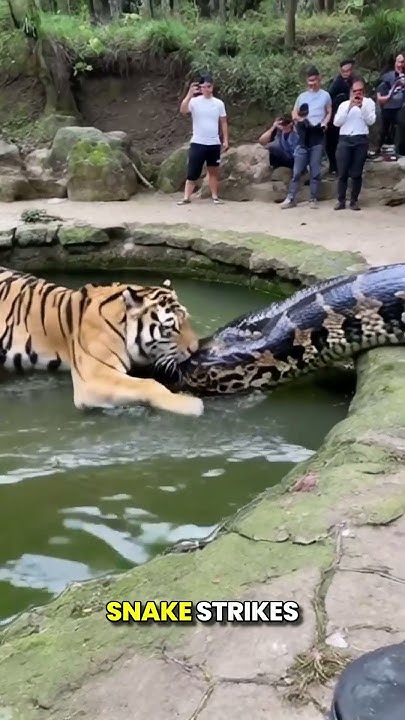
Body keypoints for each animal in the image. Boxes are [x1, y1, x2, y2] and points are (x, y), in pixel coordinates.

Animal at [0, 267, 203, 417]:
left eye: (186, 320)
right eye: (171, 328)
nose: (195, 349)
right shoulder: (94, 377)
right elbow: (149, 384)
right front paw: (190, 404)